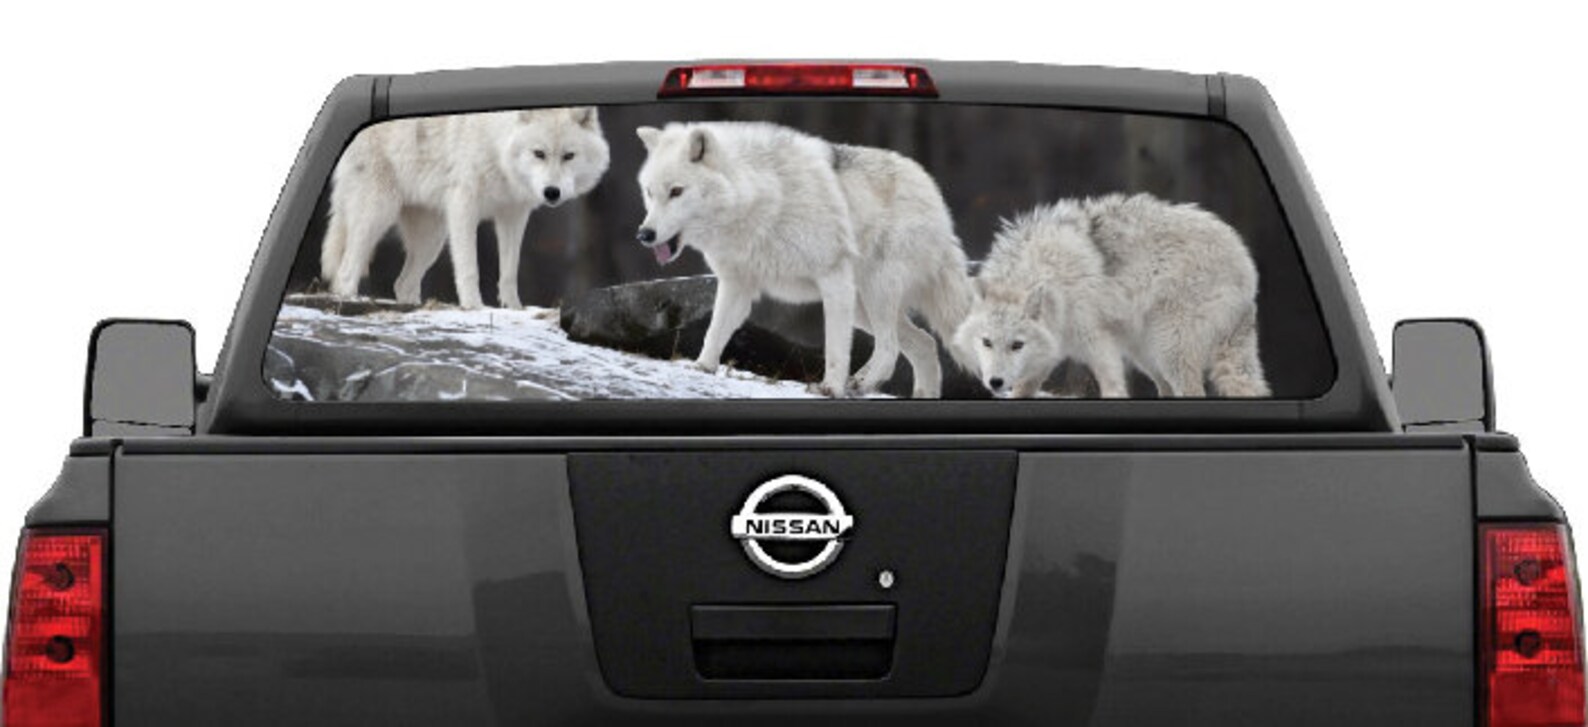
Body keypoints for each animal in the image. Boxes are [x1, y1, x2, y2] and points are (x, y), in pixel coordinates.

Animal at [320, 107, 610, 309]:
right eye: (539, 153)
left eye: (569, 156)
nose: (552, 192)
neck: (495, 142)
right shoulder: (464, 205)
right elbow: (470, 268)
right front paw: (474, 306)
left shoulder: (513, 214)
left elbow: (509, 272)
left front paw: (513, 308)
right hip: (379, 213)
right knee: (346, 271)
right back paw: (349, 301)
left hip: (432, 239)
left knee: (402, 283)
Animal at [634, 122, 973, 398]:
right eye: (649, 192)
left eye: (676, 191)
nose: (644, 234)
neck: (763, 198)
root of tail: (933, 192)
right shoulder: (736, 284)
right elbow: (715, 331)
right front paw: (702, 367)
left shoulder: (833, 277)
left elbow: (835, 346)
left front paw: (830, 388)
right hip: (862, 306)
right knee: (924, 344)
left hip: (875, 291)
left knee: (890, 346)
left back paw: (861, 383)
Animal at [952, 193, 1270, 399]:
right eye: (987, 342)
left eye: (1016, 345)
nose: (995, 382)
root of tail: (1247, 264)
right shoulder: (1048, 355)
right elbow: (1023, 390)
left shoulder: (1098, 342)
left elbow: (1113, 388)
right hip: (1146, 355)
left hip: (1169, 351)